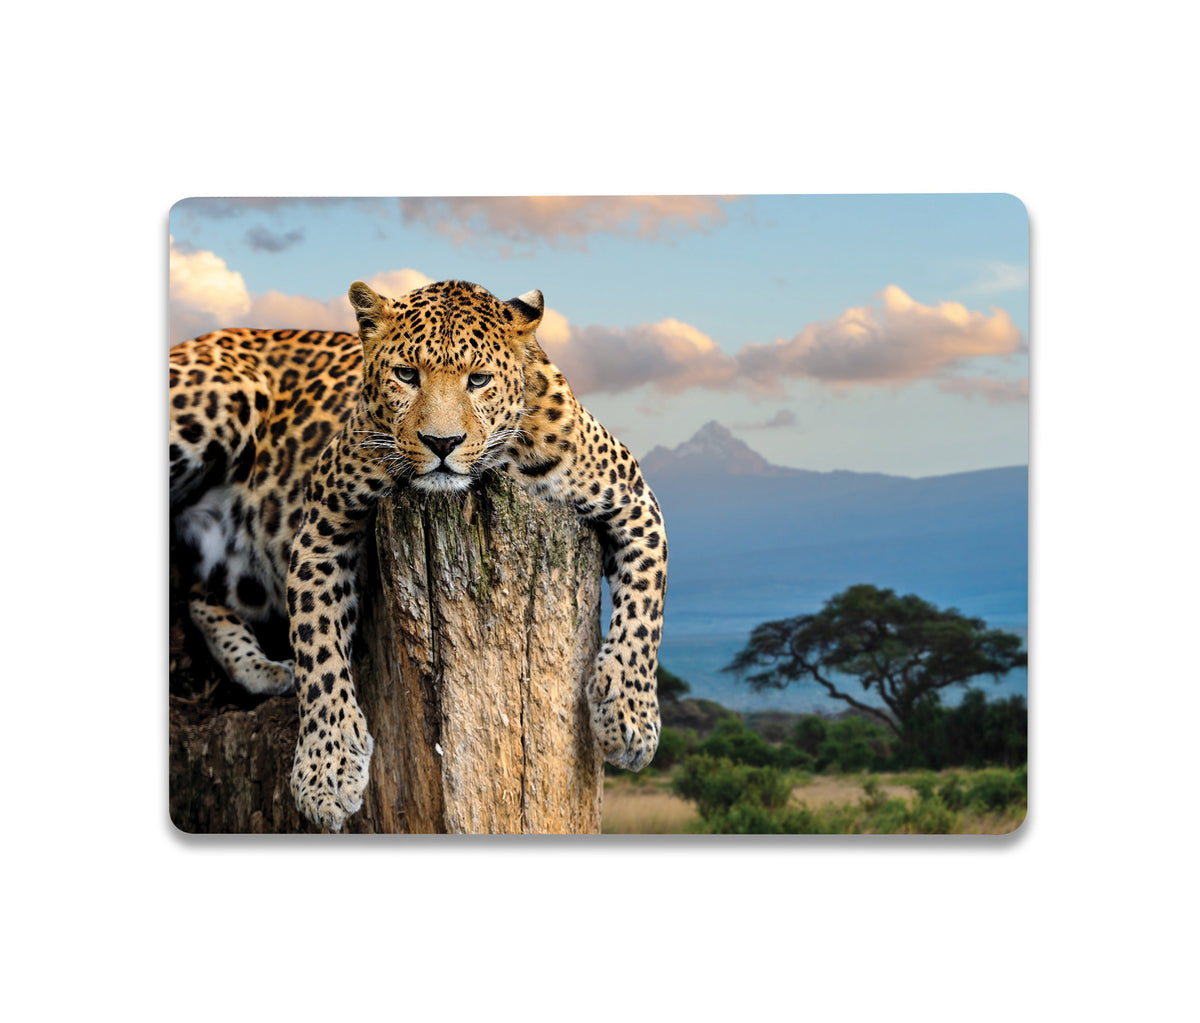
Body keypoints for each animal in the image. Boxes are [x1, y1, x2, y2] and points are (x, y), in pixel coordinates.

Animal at [169, 279, 667, 831]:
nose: (442, 443)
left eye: (479, 379)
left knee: (199, 592)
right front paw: (327, 771)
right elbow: (318, 645)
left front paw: (629, 718)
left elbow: (646, 610)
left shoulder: (635, 501)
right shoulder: (322, 522)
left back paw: (260, 668)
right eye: (407, 375)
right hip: (217, 403)